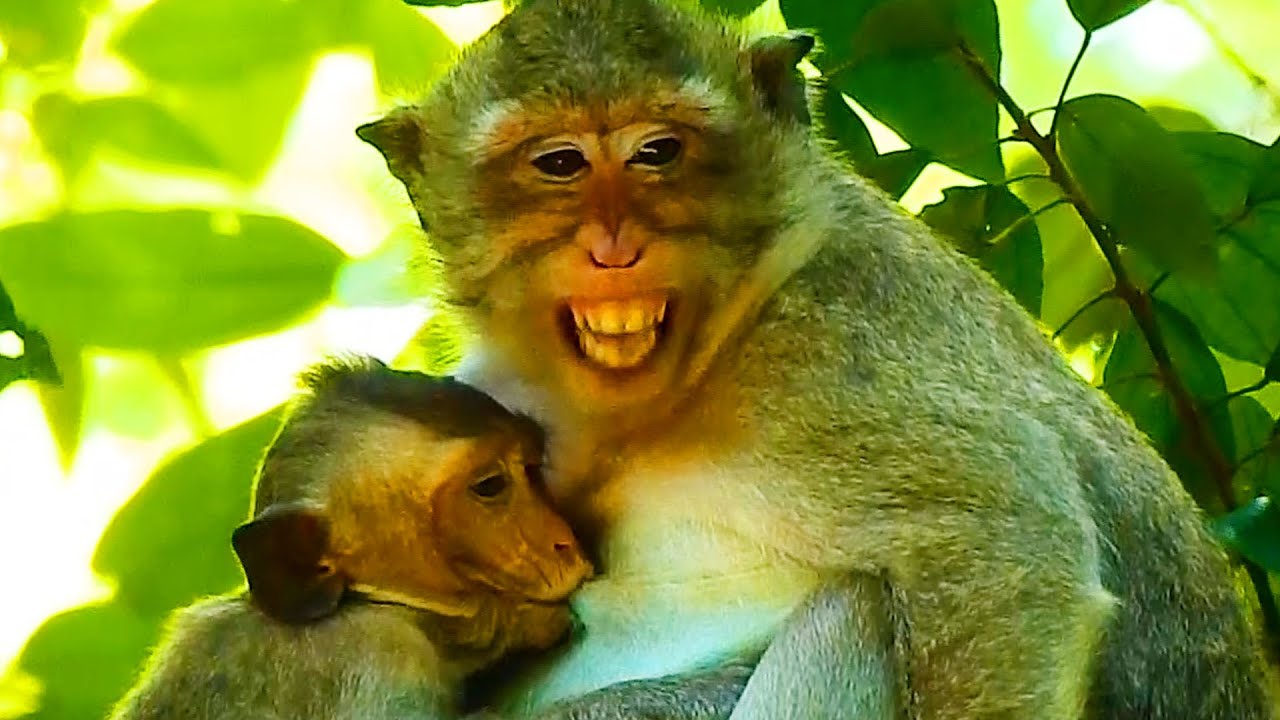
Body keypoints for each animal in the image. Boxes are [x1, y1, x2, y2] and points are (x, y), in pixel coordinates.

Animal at [356, 0, 1278, 718]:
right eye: (558, 164)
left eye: (659, 152)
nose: (614, 245)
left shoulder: (830, 362)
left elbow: (1009, 549)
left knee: (856, 612)